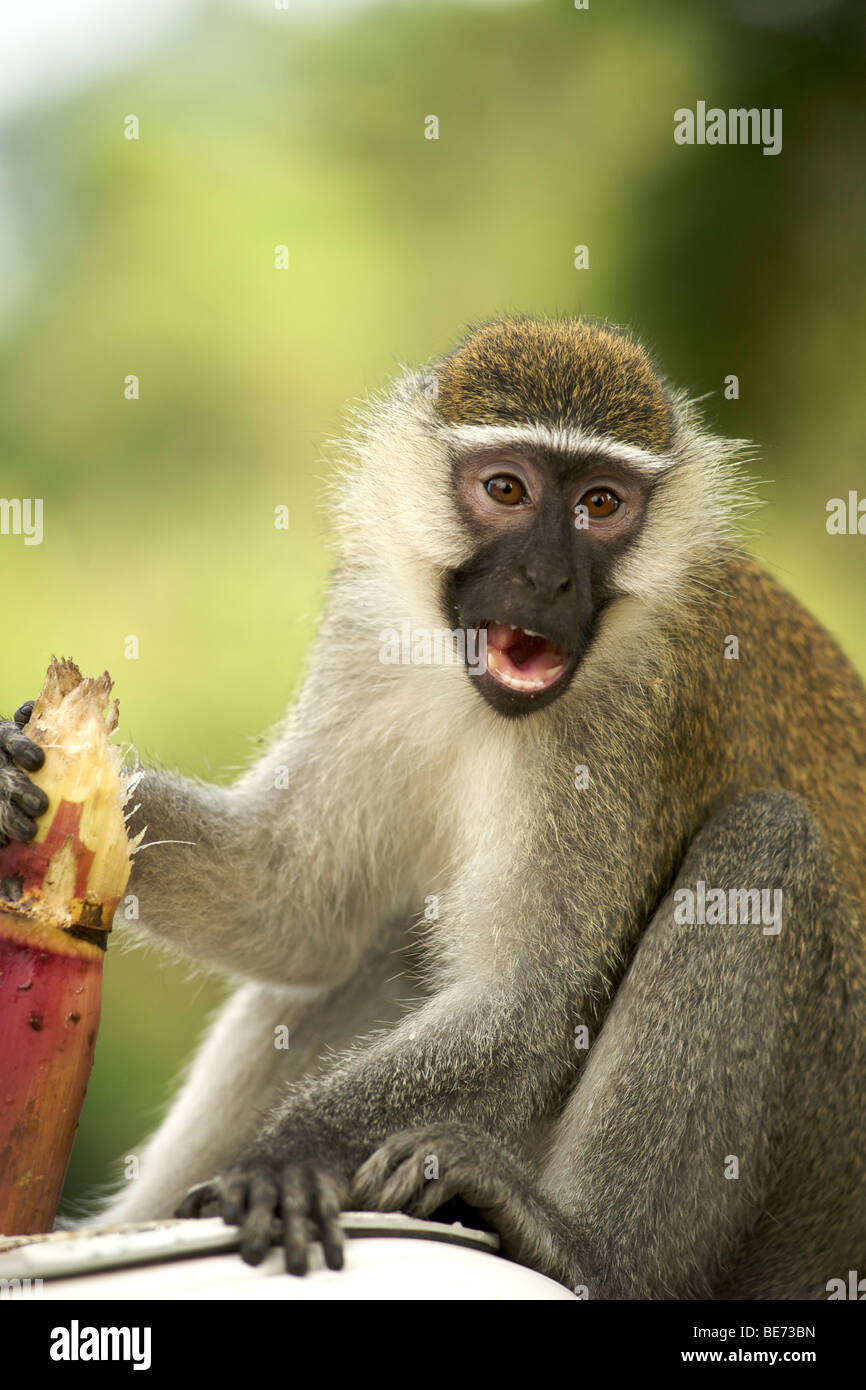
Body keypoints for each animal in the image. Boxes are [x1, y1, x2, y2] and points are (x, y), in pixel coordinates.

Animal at [2, 315, 864, 1298]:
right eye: (506, 489)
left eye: (602, 504)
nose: (547, 578)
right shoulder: (364, 629)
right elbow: (295, 905)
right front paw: (20, 783)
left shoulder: (626, 727)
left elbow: (527, 1011)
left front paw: (291, 1152)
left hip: (821, 1176)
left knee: (766, 845)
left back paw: (583, 1246)